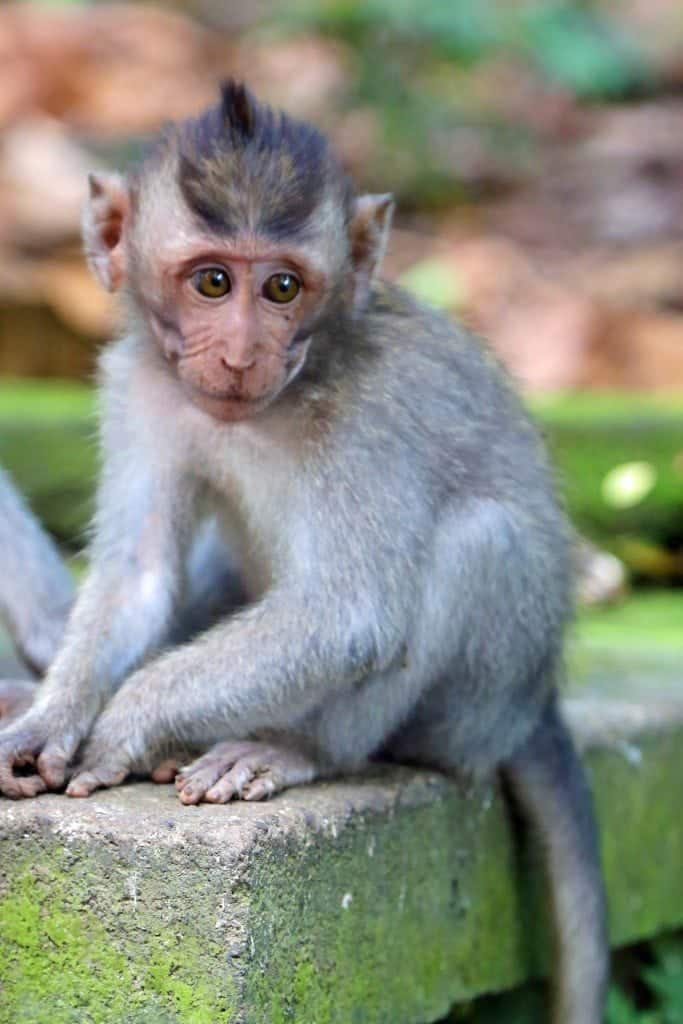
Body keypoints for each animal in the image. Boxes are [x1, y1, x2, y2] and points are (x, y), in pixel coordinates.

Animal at [0, 83, 607, 1023]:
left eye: (284, 287)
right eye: (214, 281)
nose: (244, 351)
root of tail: (535, 706)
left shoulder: (366, 411)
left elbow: (348, 615)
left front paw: (128, 720)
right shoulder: (141, 383)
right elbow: (139, 577)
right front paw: (51, 718)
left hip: (479, 704)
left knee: (472, 542)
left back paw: (291, 750)